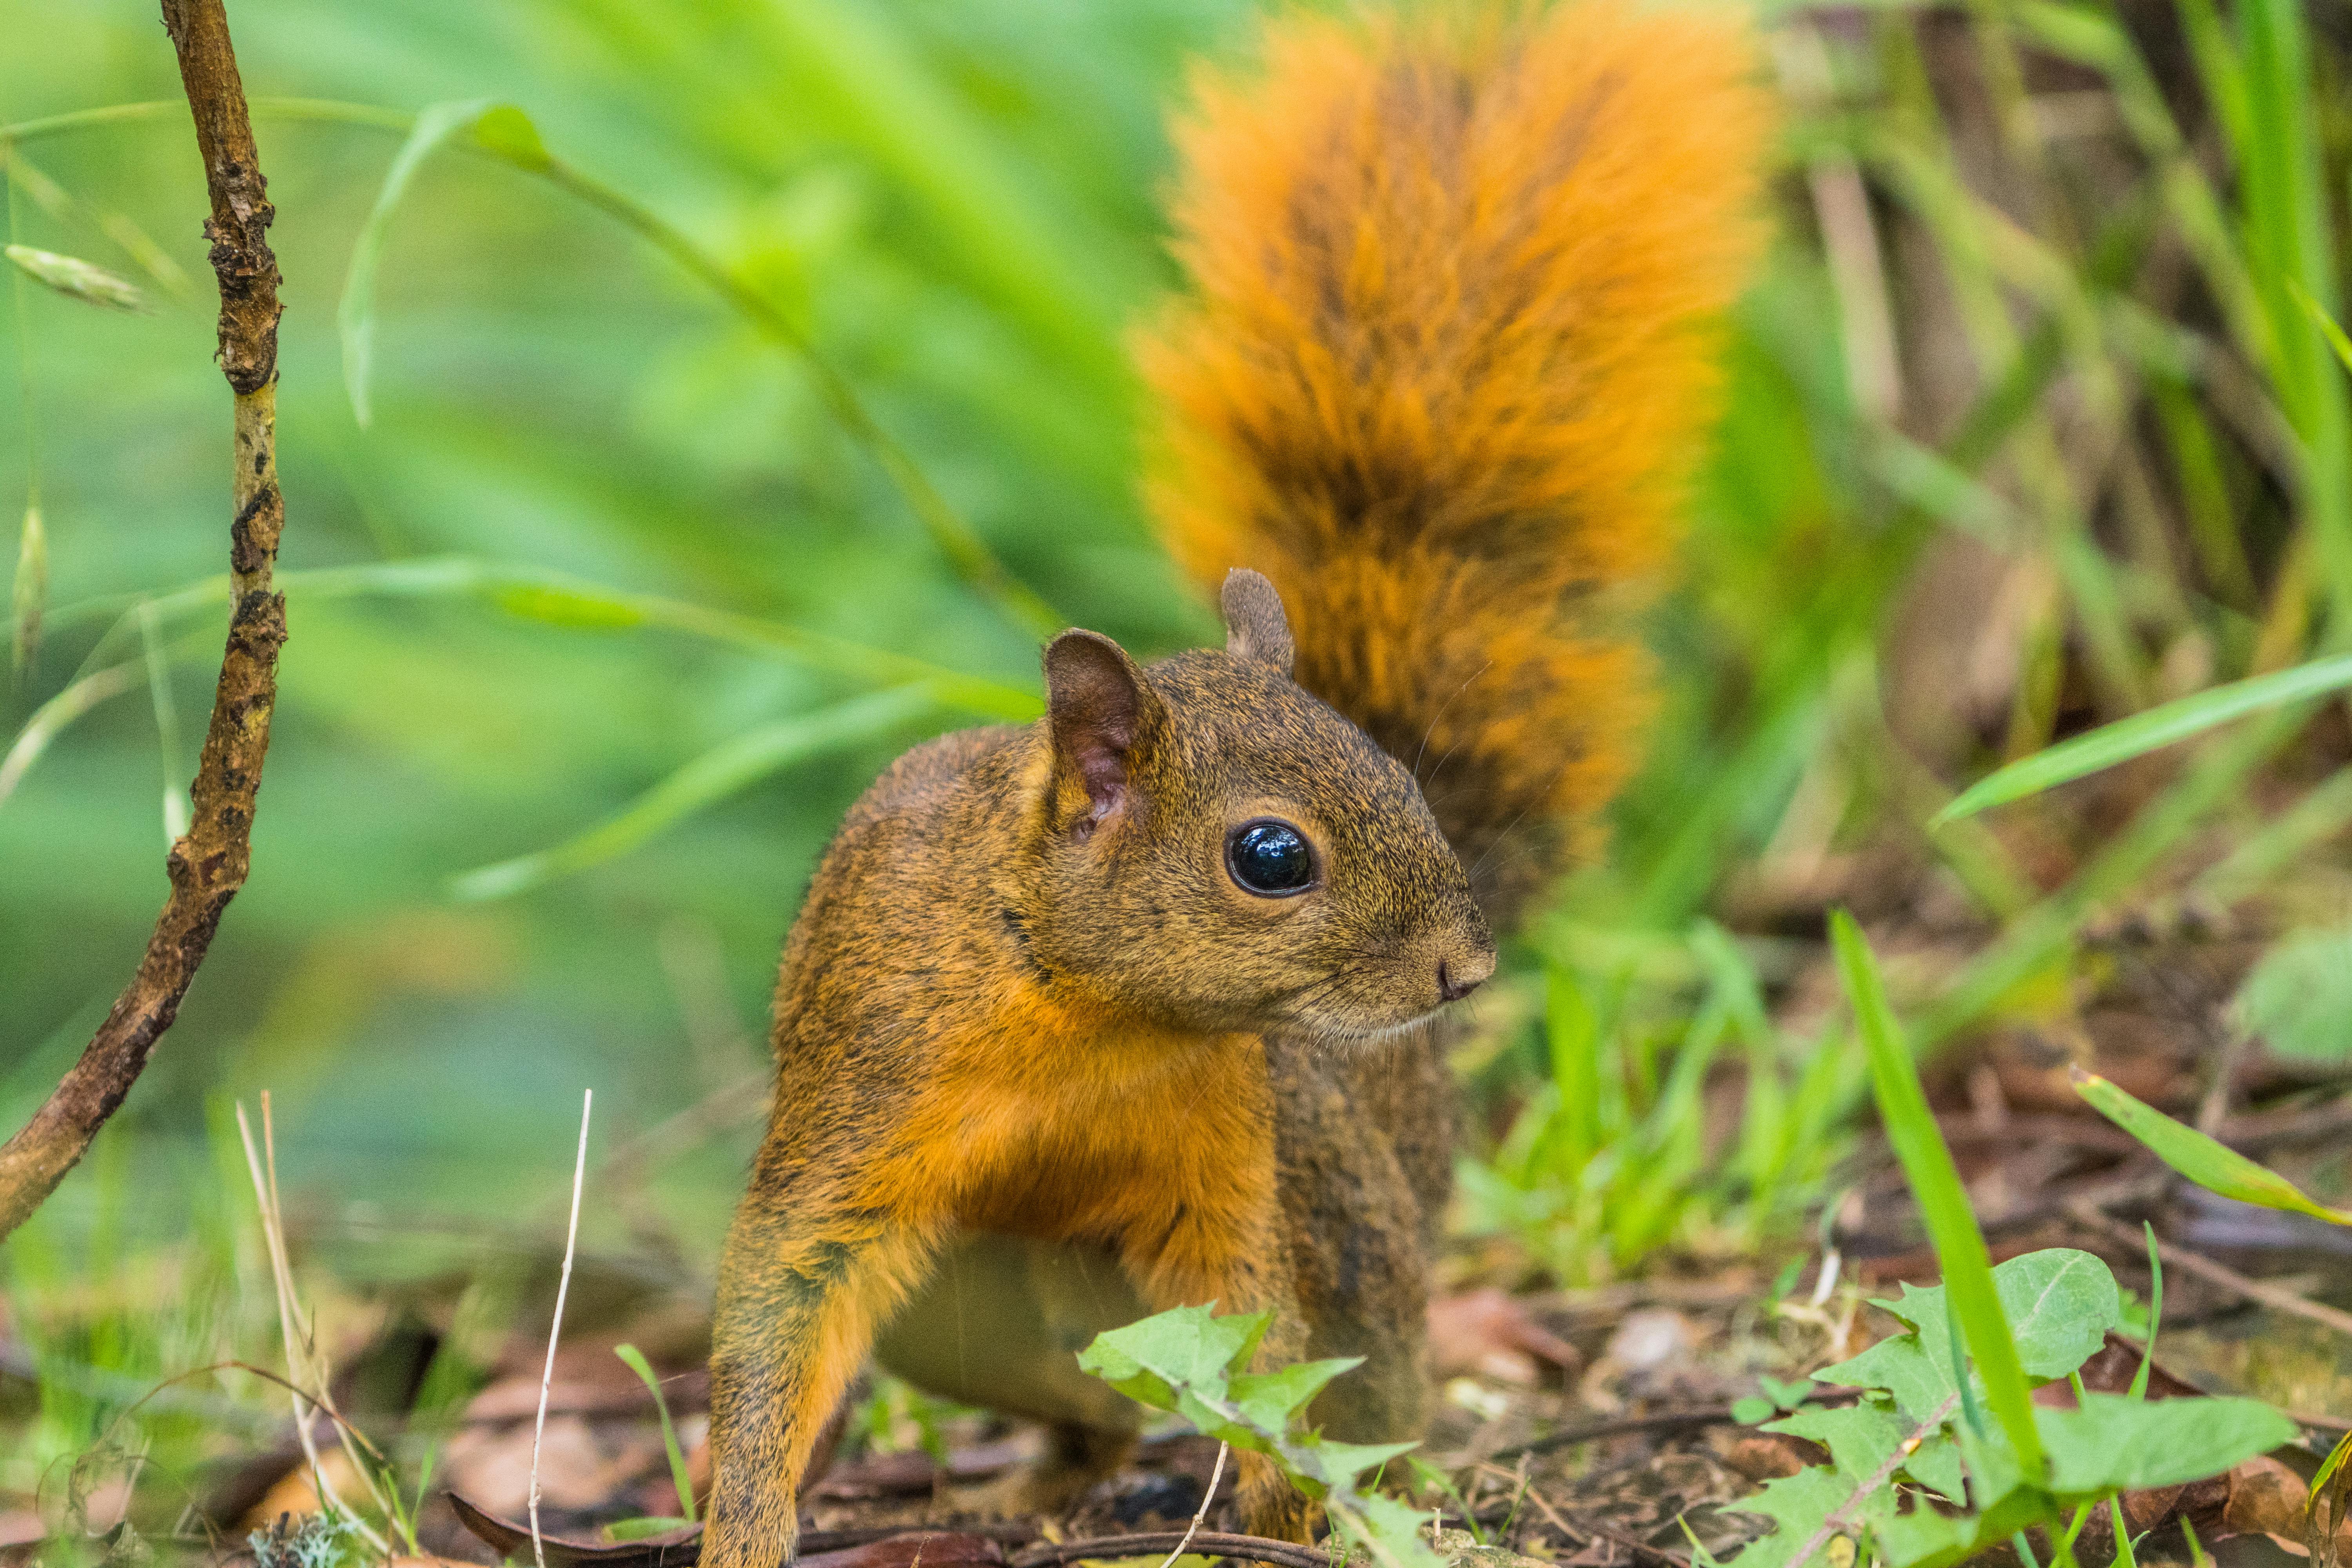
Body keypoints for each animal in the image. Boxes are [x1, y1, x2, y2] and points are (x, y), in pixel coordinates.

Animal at [703, 3, 1770, 1563]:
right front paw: (739, 1517)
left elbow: (1260, 1336)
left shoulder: (1233, 1158)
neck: (1087, 1020)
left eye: (1396, 773)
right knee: (1073, 1404)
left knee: (1356, 1338)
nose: (1463, 969)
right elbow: (784, 1307)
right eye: (1271, 857)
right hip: (966, 1315)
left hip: (1336, 1173)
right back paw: (1037, 1482)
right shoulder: (857, 1112)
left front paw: (1280, 1503)